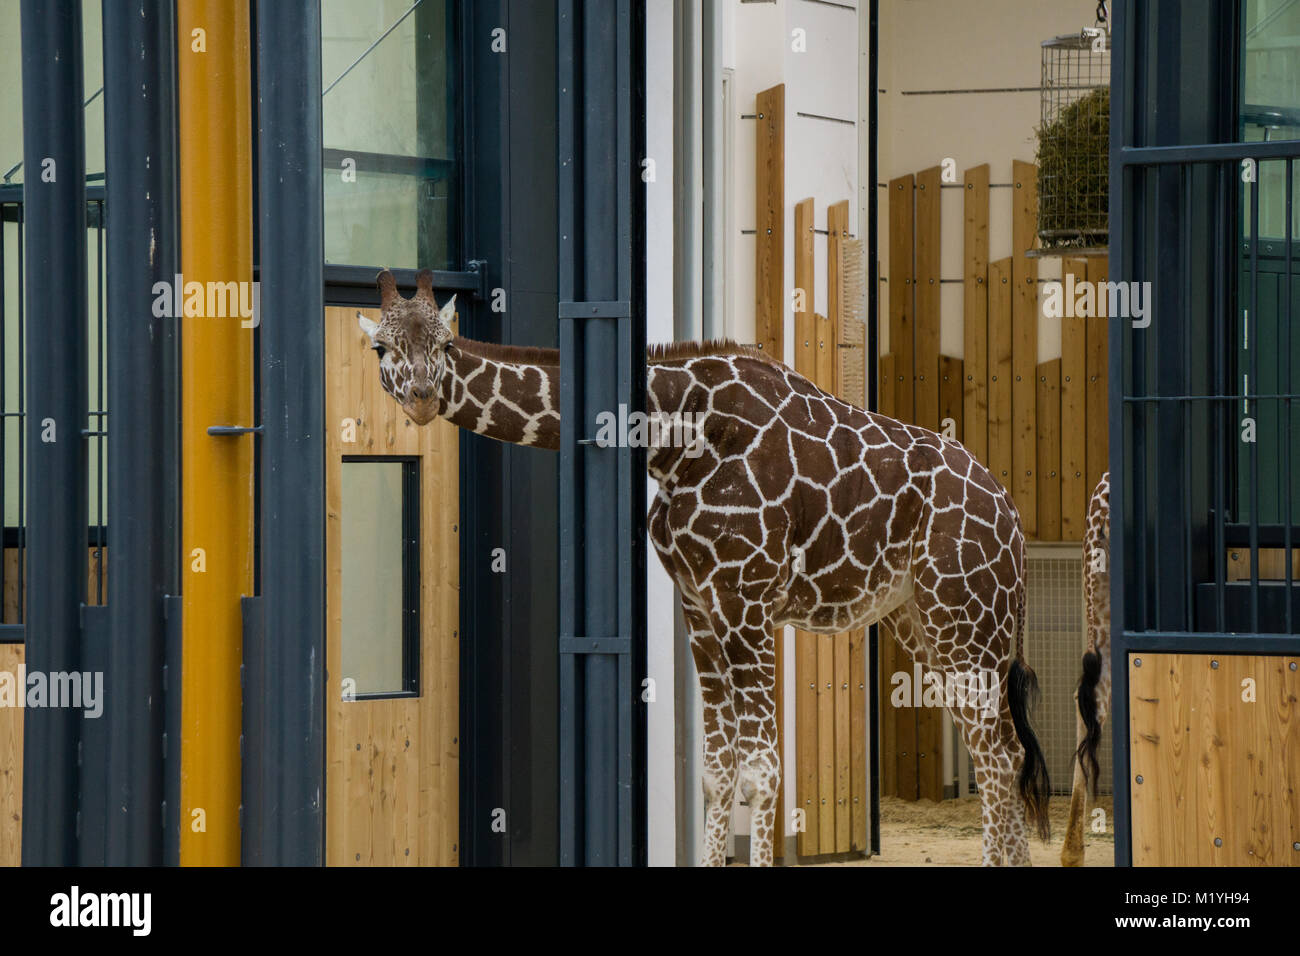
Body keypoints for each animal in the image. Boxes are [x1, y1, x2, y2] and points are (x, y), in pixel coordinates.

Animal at [357, 270, 1052, 866]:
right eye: (382, 348)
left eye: (445, 342)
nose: (421, 398)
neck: (671, 436)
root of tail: (1015, 519)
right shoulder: (698, 603)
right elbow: (718, 774)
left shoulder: (747, 599)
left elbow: (763, 771)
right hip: (927, 624)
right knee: (1002, 754)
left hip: (967, 623)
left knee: (998, 760)